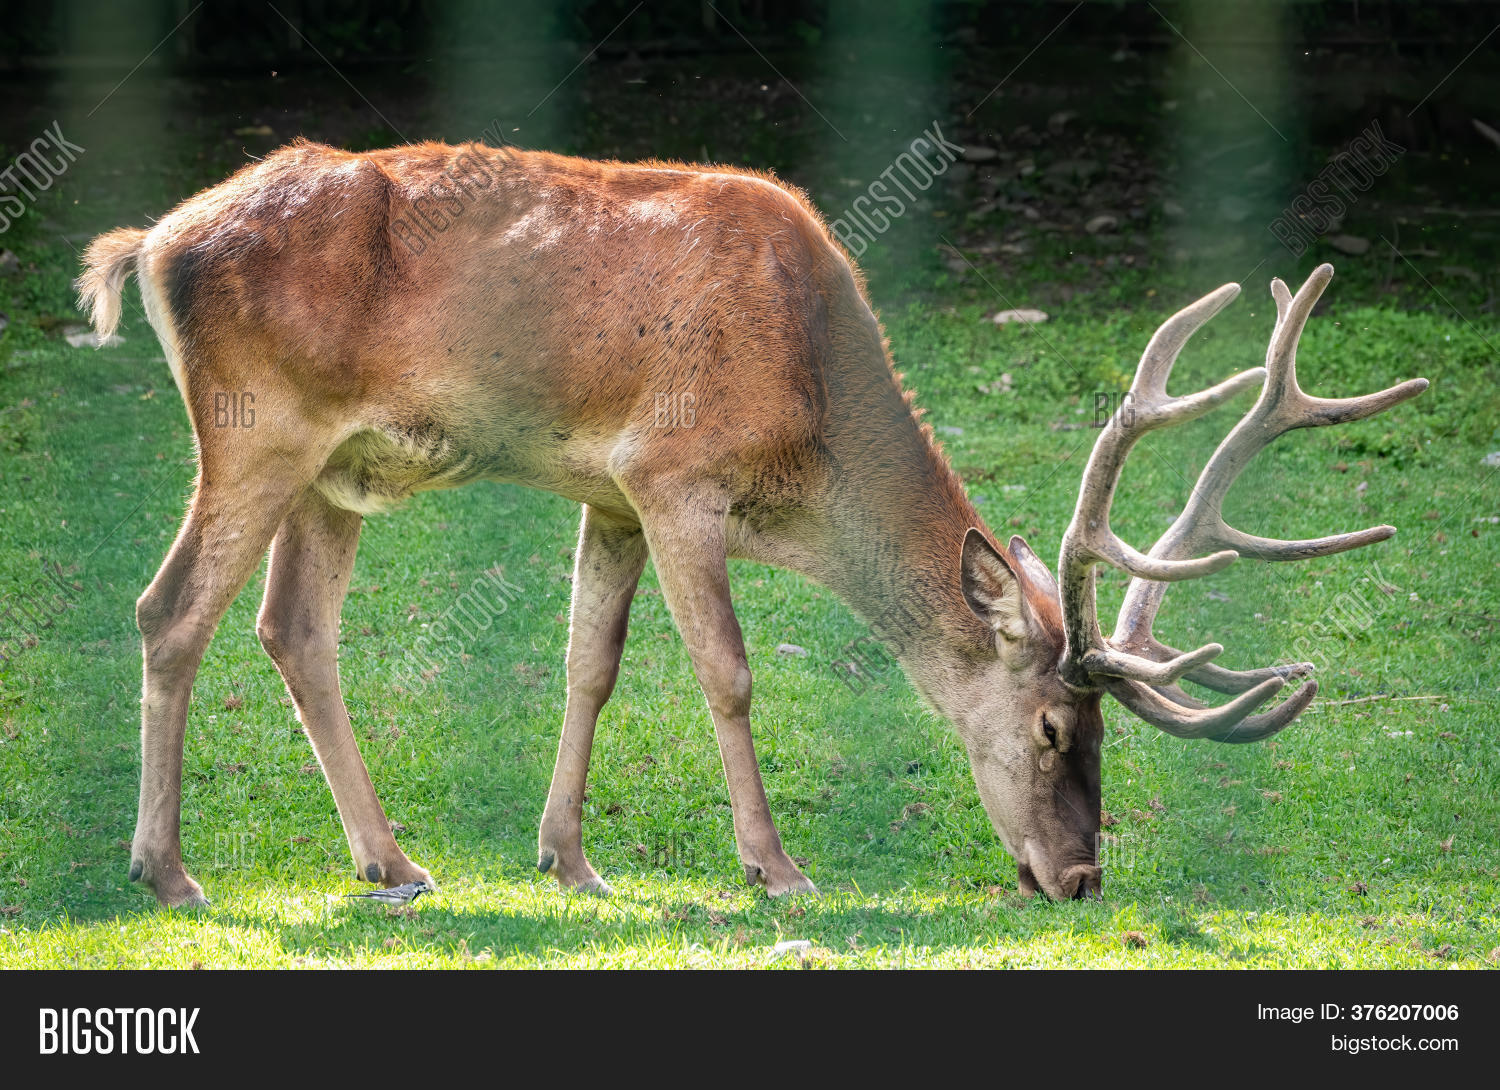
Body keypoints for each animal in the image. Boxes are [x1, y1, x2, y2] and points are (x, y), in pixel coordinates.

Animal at [75, 138, 1427, 907]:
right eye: (1053, 728)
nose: (1083, 877)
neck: (809, 428)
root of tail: (151, 243)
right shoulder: (674, 473)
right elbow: (724, 672)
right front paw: (774, 868)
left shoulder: (610, 491)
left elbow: (591, 664)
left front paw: (568, 858)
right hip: (257, 424)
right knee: (167, 609)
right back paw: (169, 869)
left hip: (337, 466)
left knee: (292, 627)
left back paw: (393, 864)